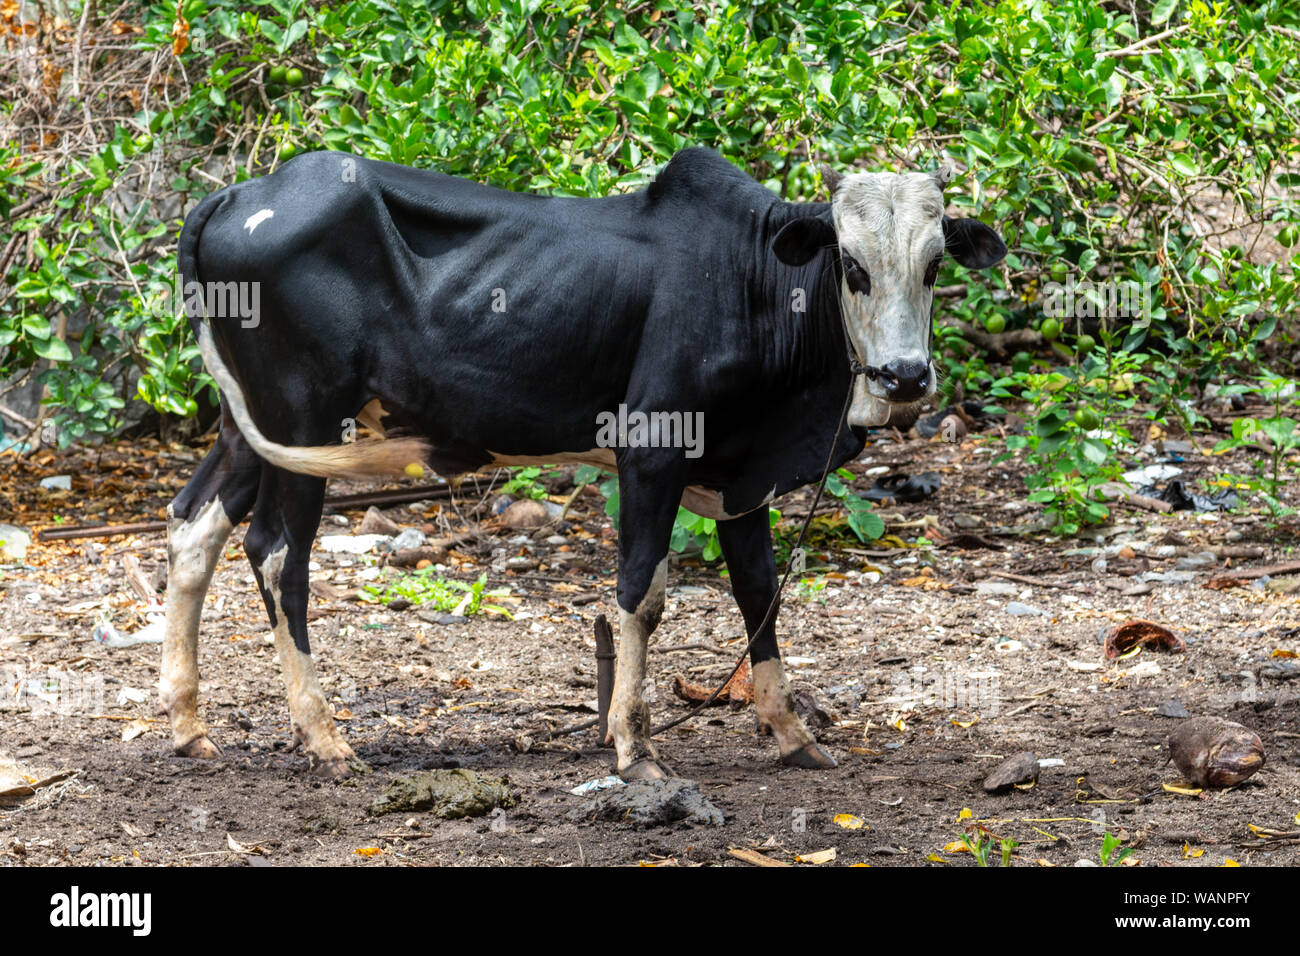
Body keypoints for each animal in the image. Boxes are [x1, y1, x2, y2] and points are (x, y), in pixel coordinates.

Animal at [163, 148, 1005, 779]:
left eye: (935, 265)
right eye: (852, 265)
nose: (904, 376)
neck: (754, 285)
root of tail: (241, 191)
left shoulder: (739, 475)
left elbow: (759, 593)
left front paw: (792, 734)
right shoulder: (653, 448)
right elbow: (641, 595)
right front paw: (633, 745)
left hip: (250, 425)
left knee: (192, 528)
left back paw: (188, 724)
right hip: (305, 419)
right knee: (277, 555)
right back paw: (324, 736)